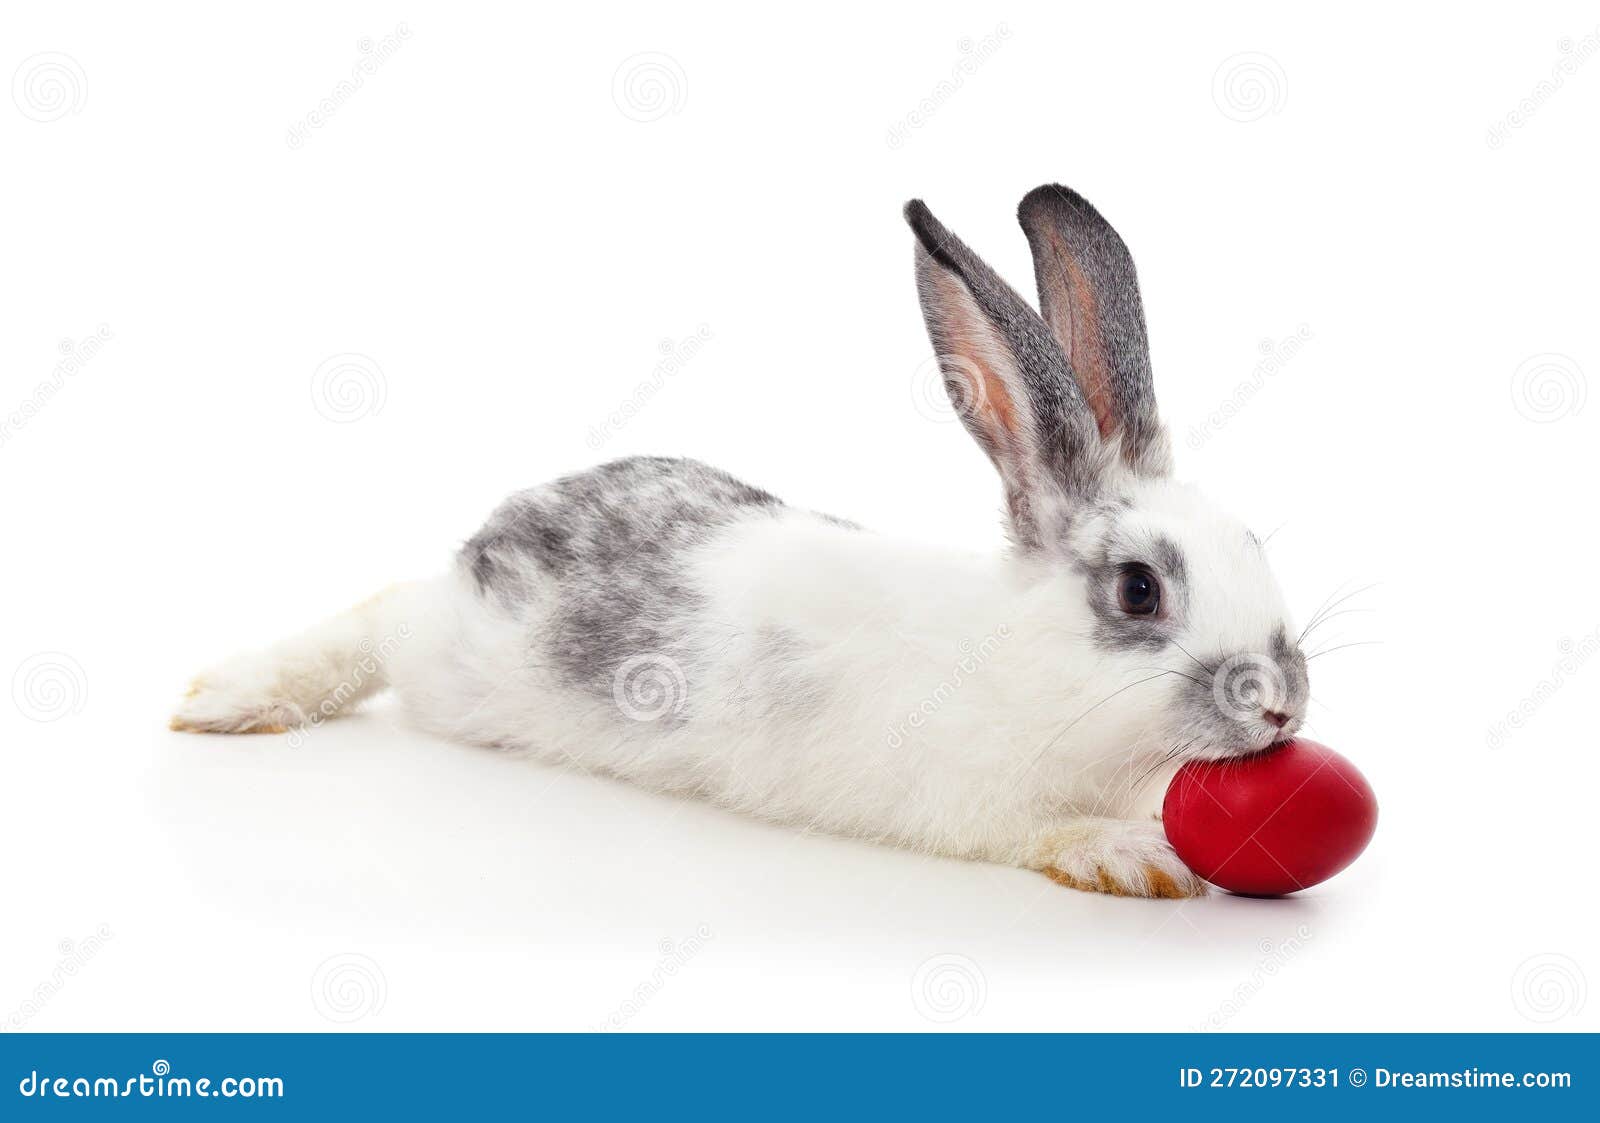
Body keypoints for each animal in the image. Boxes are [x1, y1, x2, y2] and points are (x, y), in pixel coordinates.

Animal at [171, 184, 1309, 899]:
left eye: (1256, 544)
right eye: (1137, 590)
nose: (1281, 703)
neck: (1027, 666)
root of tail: (492, 537)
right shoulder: (963, 797)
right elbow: (1028, 828)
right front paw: (1132, 855)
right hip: (450, 664)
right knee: (380, 613)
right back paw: (232, 696)